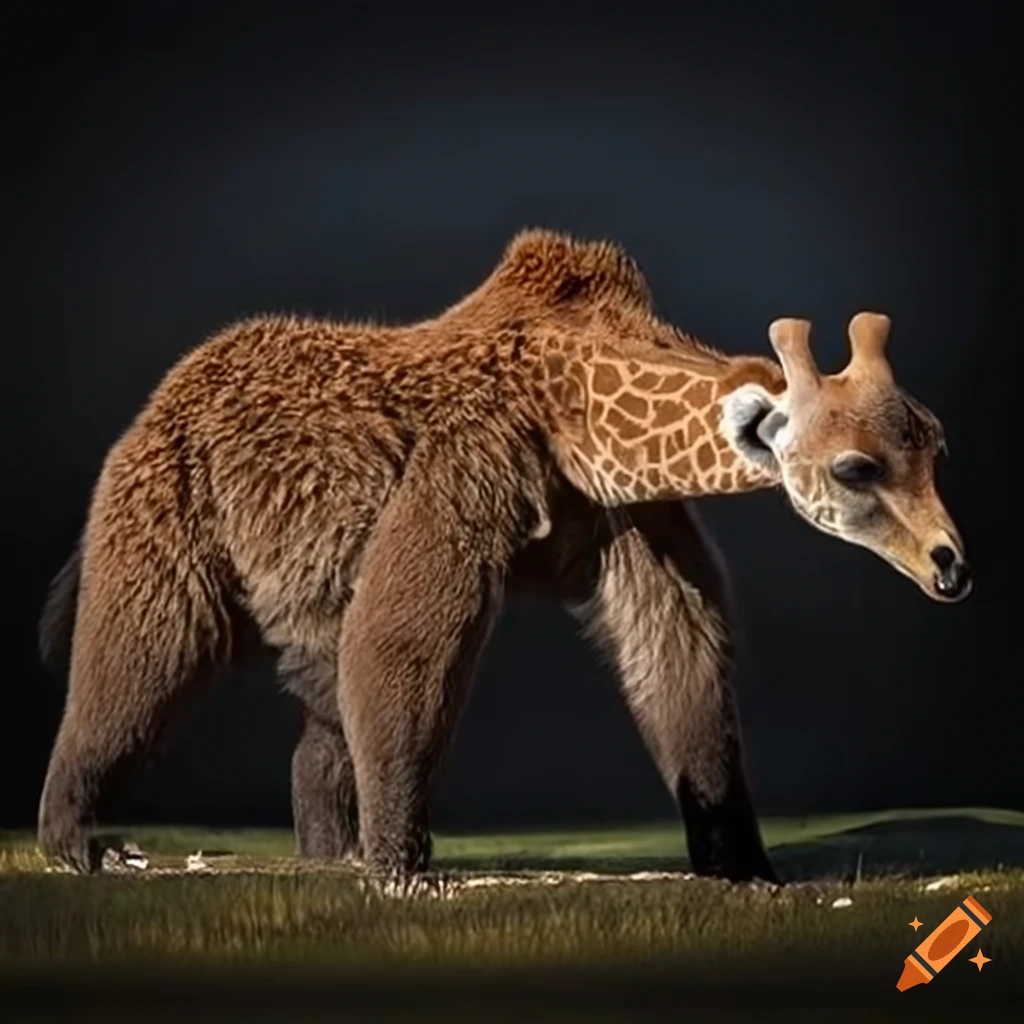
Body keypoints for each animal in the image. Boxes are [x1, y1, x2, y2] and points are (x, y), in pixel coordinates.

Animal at [36, 228, 969, 883]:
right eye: (856, 467)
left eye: (935, 443)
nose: (950, 562)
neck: (582, 418)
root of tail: (164, 395)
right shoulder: (464, 475)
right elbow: (406, 645)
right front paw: (401, 868)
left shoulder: (627, 524)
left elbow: (682, 658)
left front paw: (745, 866)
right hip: (169, 517)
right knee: (137, 654)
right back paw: (78, 843)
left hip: (305, 587)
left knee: (322, 701)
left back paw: (326, 854)